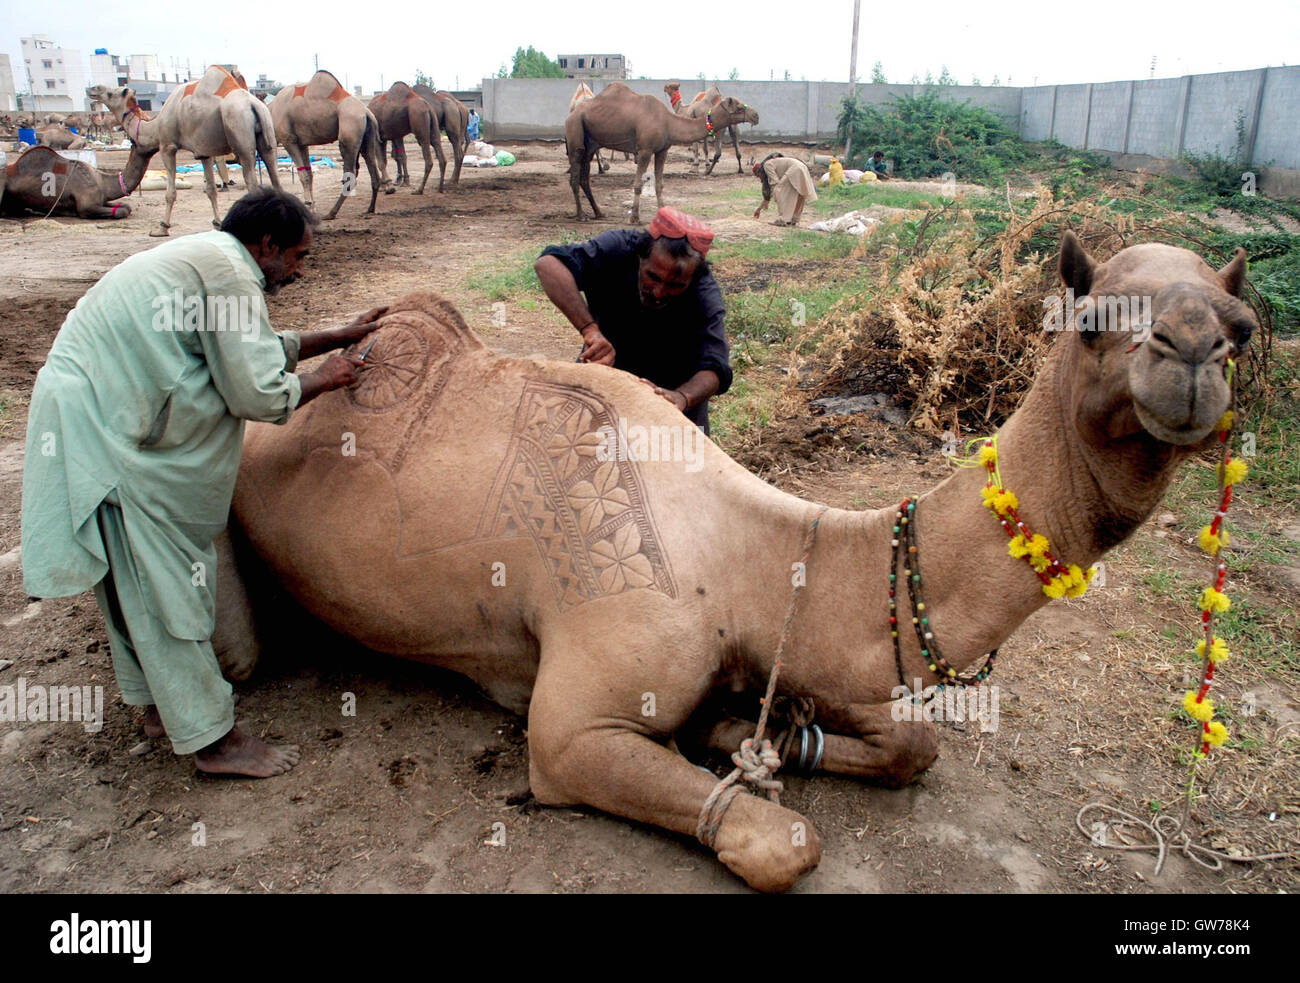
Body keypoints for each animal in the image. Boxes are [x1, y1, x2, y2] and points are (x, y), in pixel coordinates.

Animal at [87, 64, 282, 236]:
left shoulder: (167, 146)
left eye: (110, 93)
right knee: (274, 176)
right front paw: (217, 223)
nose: (91, 89)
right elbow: (211, 189)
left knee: (251, 180)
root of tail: (253, 104)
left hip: (240, 133)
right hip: (267, 137)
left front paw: (161, 228)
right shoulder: (204, 151)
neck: (155, 125)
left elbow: (170, 192)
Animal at [214, 233, 1253, 891]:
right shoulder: (573, 725)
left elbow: (911, 740)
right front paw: (729, 748)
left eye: (1242, 328)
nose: (1193, 353)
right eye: (1093, 321)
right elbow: (783, 838)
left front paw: (753, 730)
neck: (752, 553)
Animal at [270, 70, 393, 219]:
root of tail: (366, 112)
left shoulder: (289, 140)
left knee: (350, 176)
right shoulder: (302, 143)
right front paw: (312, 208)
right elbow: (309, 173)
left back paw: (331, 213)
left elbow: (303, 175)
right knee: (373, 174)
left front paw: (308, 205)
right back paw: (370, 209)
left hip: (349, 132)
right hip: (367, 139)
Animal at [565, 82, 758, 223]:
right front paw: (635, 218)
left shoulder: (662, 150)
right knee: (574, 177)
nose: (755, 115)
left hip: (590, 144)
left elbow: (659, 184)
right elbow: (638, 184)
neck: (668, 121)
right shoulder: (645, 150)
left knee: (584, 178)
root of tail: (572, 114)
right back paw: (581, 215)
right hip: (575, 133)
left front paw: (663, 213)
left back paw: (599, 213)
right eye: (739, 107)